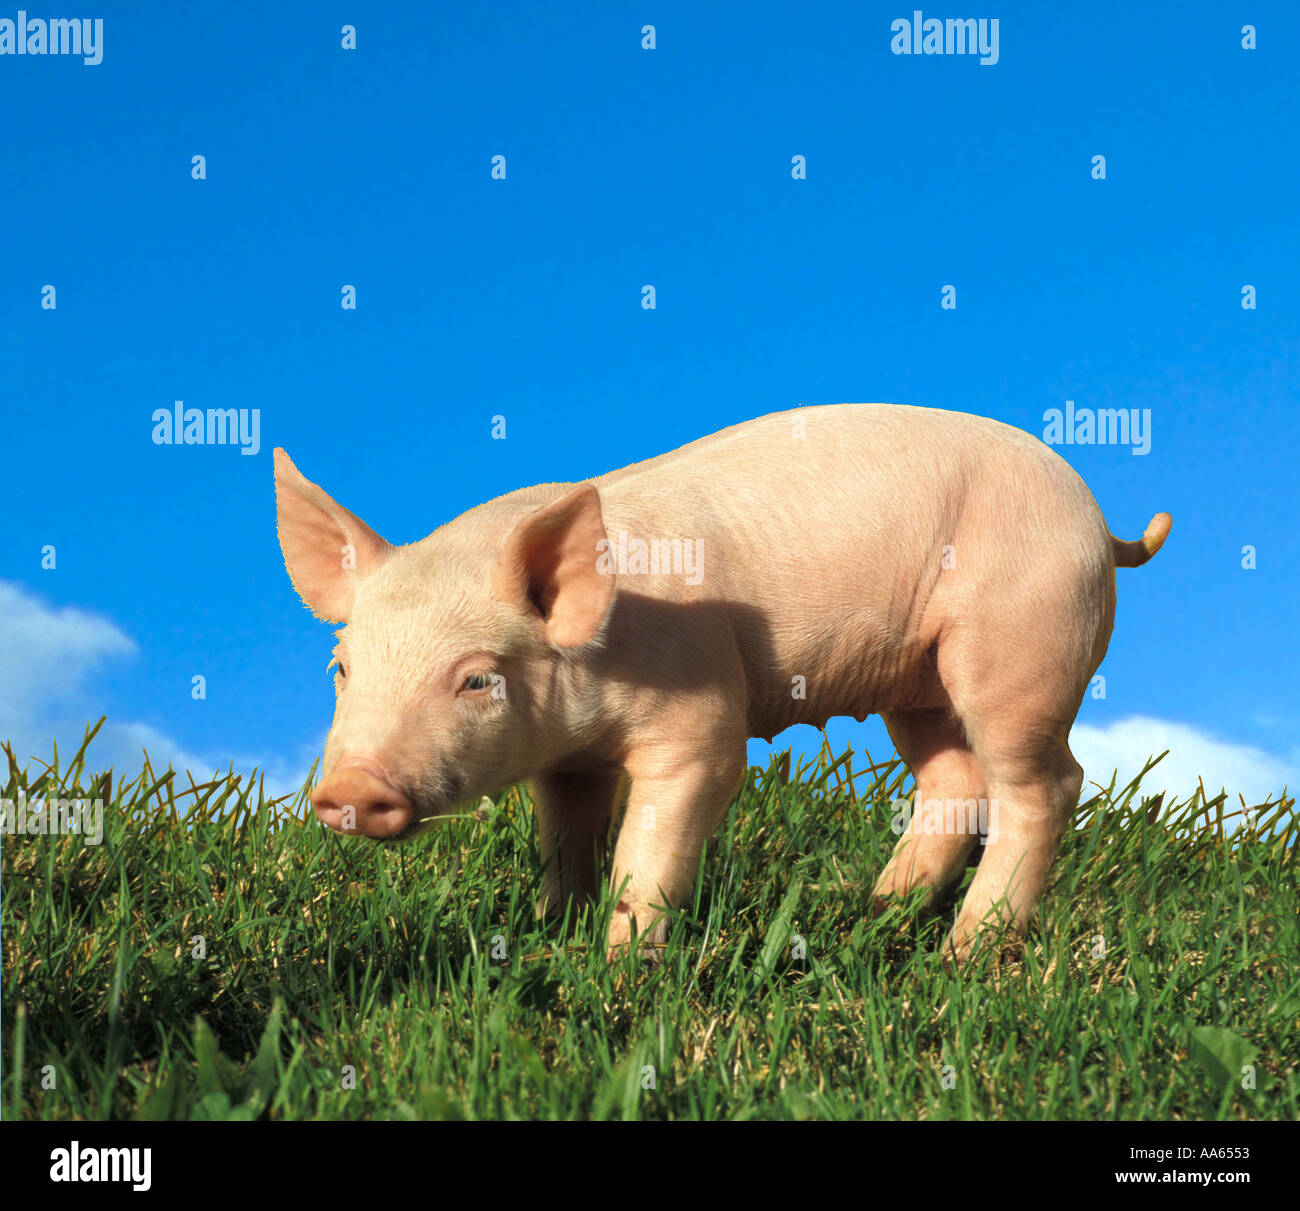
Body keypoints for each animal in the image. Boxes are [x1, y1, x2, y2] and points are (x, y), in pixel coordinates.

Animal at [274, 403, 1171, 962]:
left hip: (1024, 643)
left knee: (1046, 783)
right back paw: (870, 915)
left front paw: (621, 970)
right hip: (921, 683)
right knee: (955, 781)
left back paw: (964, 957)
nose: (349, 787)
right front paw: (550, 931)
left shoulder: (699, 711)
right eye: (343, 667)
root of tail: (1102, 526)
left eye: (475, 679)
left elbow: (652, 840)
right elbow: (566, 839)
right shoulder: (568, 759)